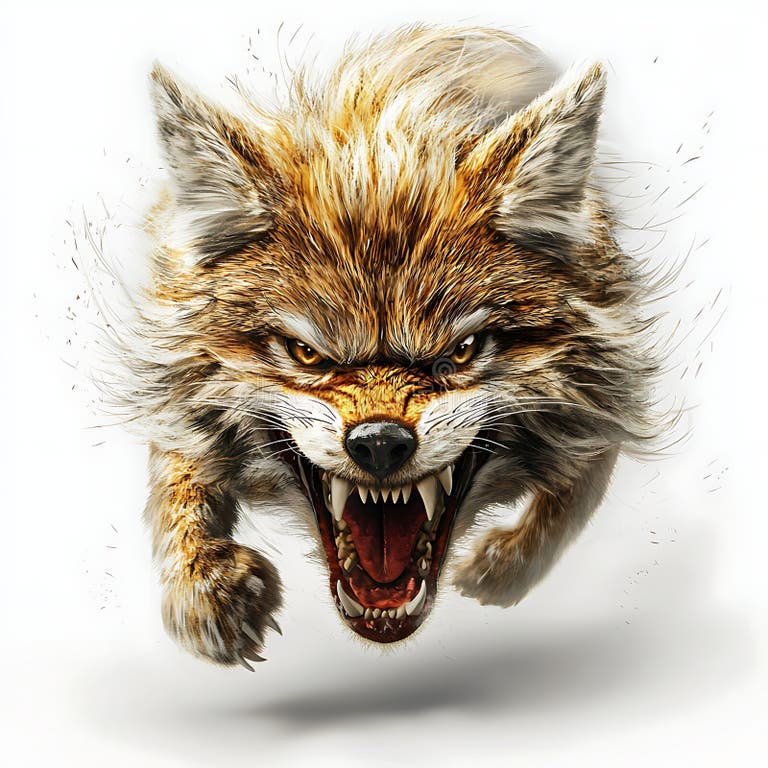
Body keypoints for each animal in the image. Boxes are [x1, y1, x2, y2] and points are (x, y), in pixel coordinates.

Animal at [125, 26, 658, 668]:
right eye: (308, 354)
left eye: (462, 350)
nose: (379, 443)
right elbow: (177, 480)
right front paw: (203, 588)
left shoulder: (610, 394)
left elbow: (579, 488)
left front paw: (507, 565)